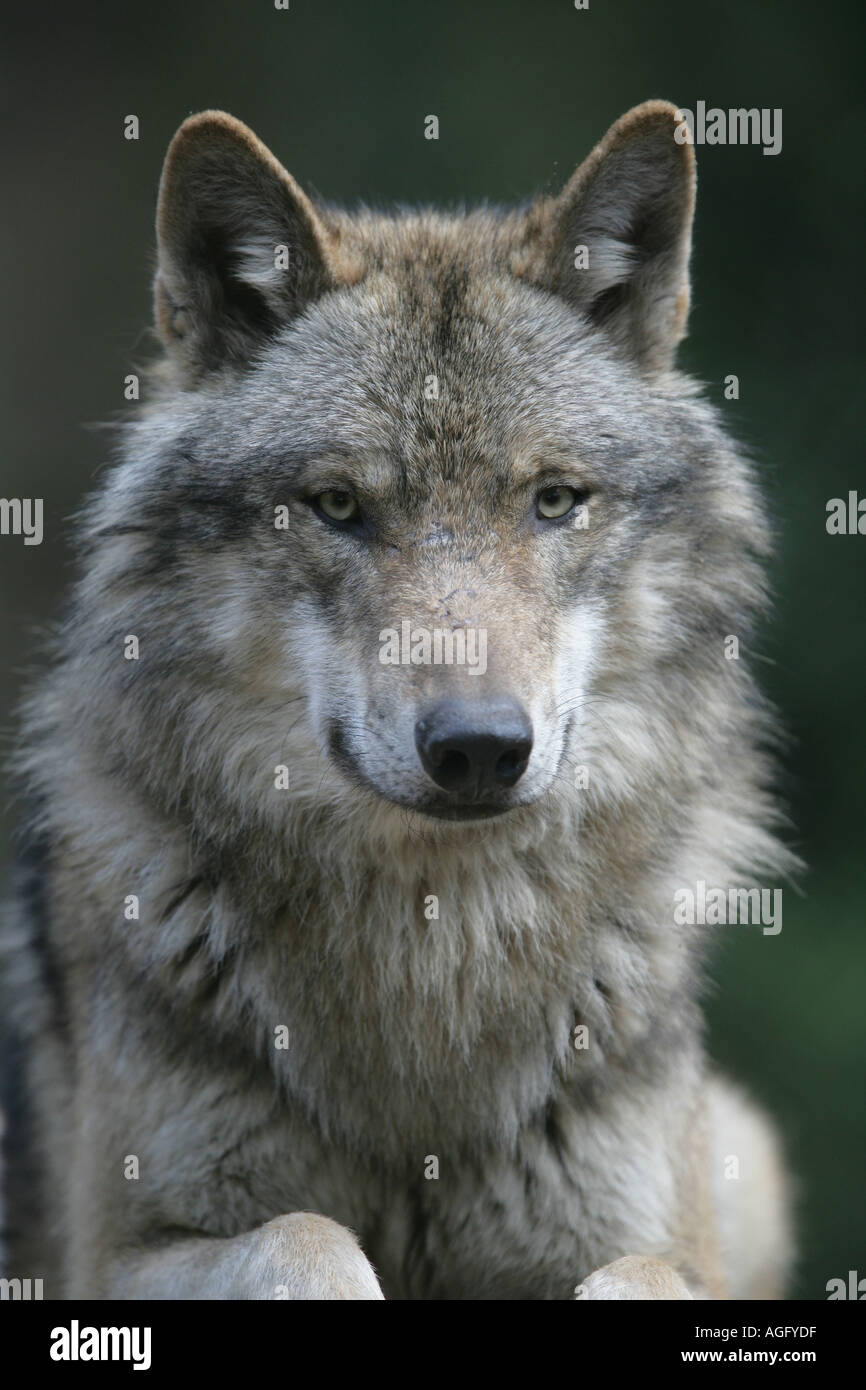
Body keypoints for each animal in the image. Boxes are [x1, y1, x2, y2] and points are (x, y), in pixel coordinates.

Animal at [1, 100, 794, 1299]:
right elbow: (308, 1236)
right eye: (336, 506)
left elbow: (635, 1278)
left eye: (553, 501)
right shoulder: (118, 1254)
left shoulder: (662, 1243)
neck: (434, 939)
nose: (478, 747)